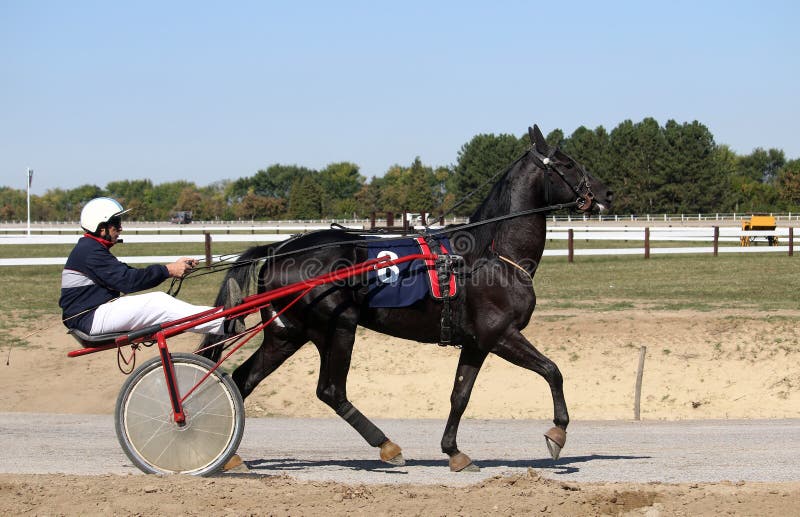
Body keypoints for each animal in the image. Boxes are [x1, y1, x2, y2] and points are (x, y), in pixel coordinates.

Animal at [199, 125, 613, 471]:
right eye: (567, 163)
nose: (606, 193)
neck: (491, 254)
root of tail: (277, 249)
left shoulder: (476, 342)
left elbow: (460, 395)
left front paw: (454, 452)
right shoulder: (501, 334)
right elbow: (553, 370)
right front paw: (557, 433)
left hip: (287, 334)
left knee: (243, 380)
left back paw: (230, 456)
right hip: (337, 326)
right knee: (330, 390)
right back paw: (387, 446)